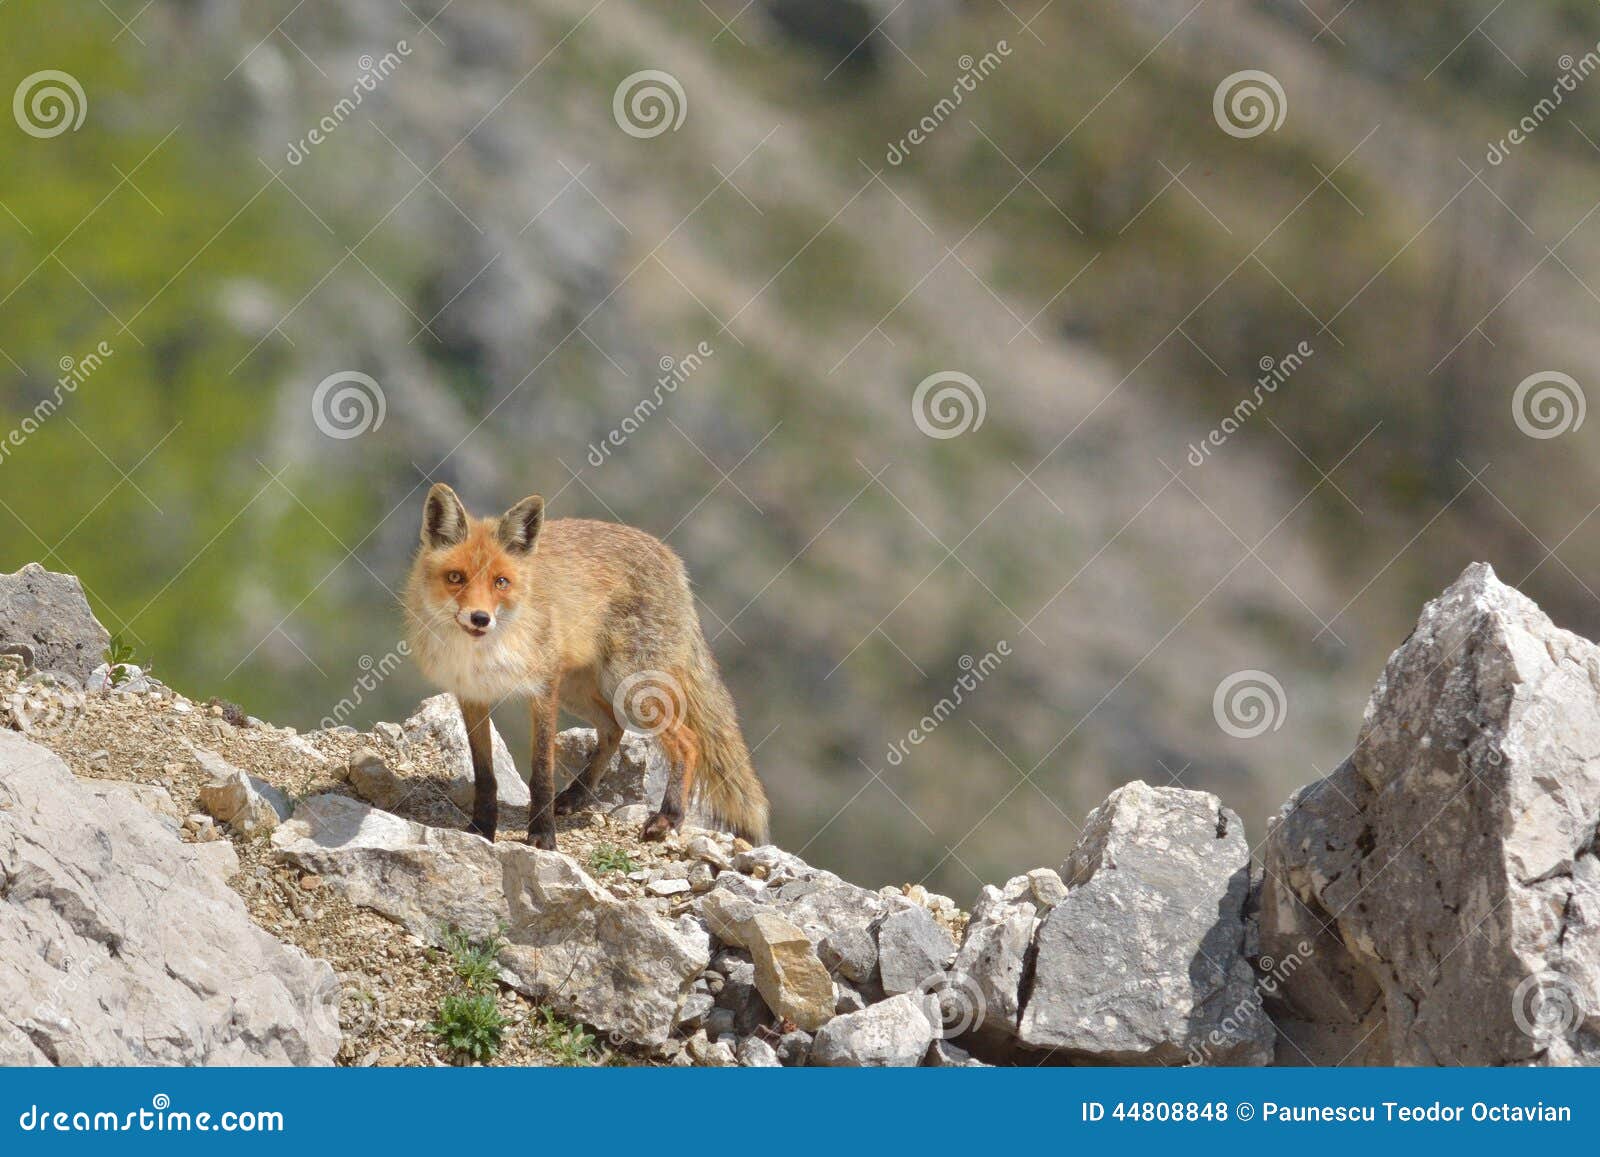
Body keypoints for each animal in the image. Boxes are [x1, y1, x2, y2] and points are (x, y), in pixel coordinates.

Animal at [403, 482, 770, 852]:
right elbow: (485, 777)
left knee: (688, 741)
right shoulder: (472, 695)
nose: (480, 618)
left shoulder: (543, 688)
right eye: (455, 577)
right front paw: (481, 829)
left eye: (500, 582)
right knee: (613, 728)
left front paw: (542, 836)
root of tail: (670, 557)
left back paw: (669, 816)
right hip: (579, 690)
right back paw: (576, 796)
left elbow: (541, 774)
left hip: (628, 684)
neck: (484, 653)